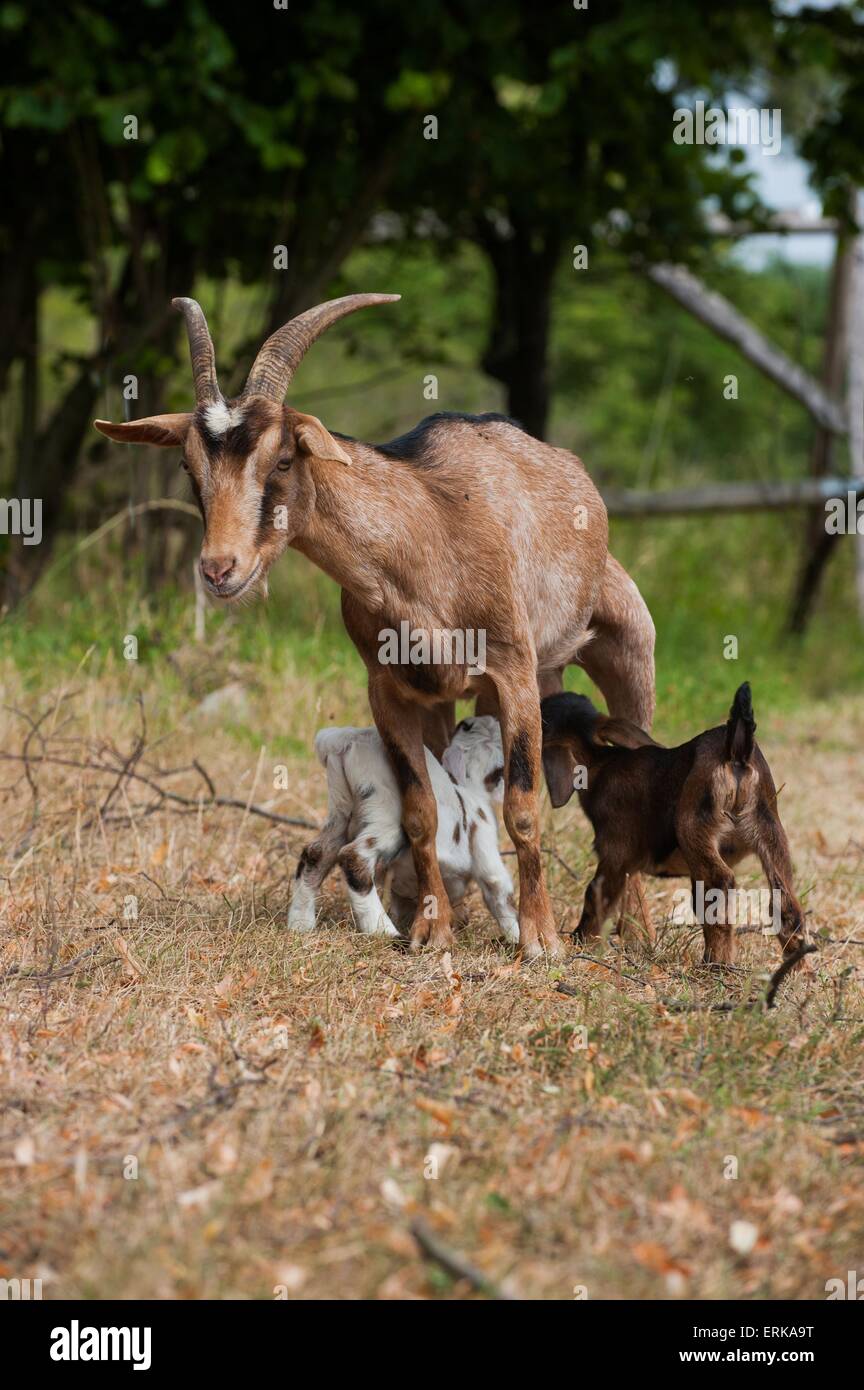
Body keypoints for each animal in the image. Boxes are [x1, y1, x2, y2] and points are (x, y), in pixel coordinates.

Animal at [289, 715, 519, 943]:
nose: (470, 720)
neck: (469, 788)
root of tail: (349, 738)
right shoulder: (485, 845)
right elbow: (499, 891)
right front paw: (518, 940)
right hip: (385, 810)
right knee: (354, 856)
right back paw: (383, 931)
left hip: (341, 810)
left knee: (317, 853)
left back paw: (300, 923)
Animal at [540, 683, 809, 965]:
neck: (600, 762)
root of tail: (735, 753)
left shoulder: (615, 852)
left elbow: (596, 896)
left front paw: (581, 941)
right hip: (771, 832)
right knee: (785, 902)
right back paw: (798, 968)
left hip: (693, 828)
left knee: (720, 883)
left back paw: (716, 964)